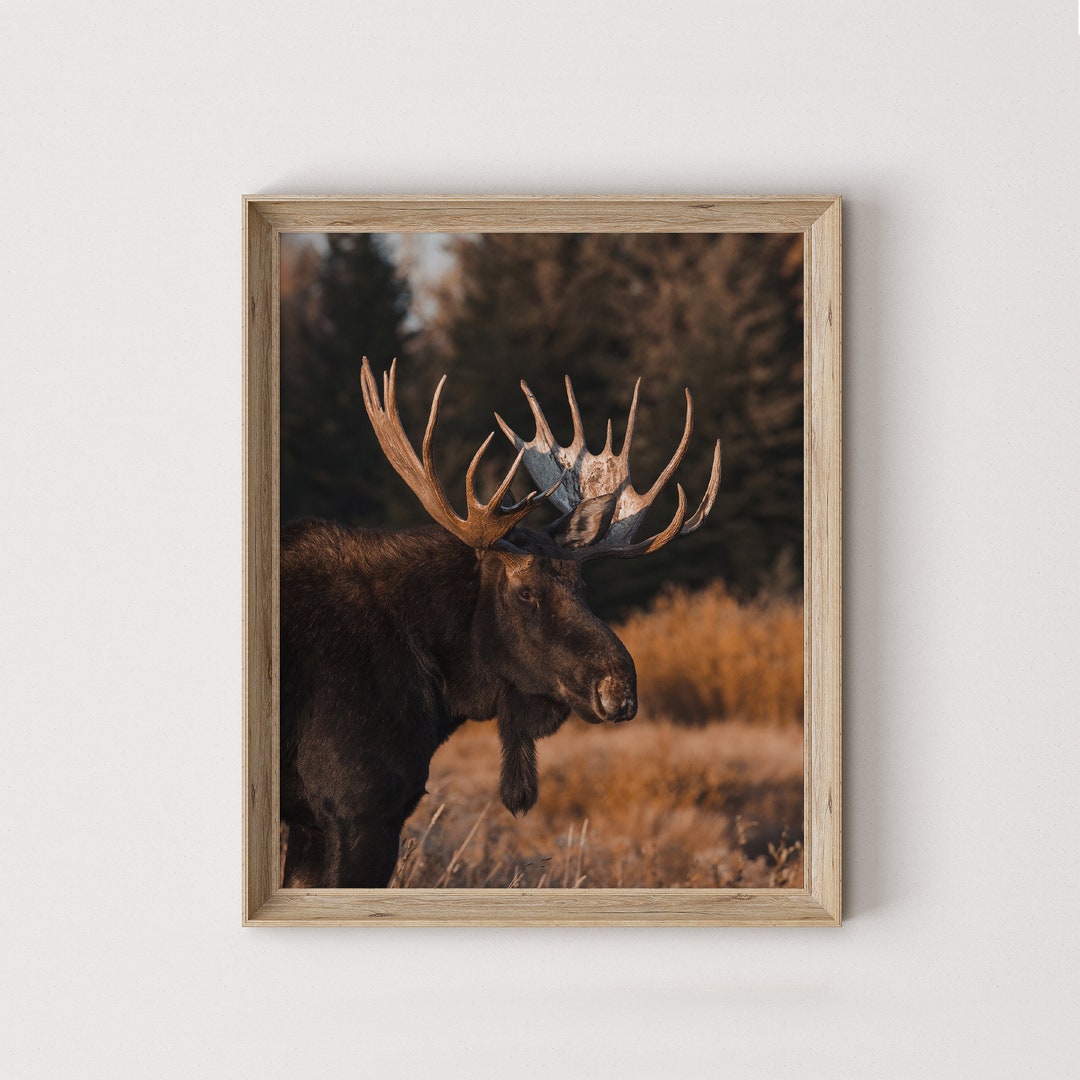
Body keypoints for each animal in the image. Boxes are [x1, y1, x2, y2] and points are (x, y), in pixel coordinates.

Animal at [280, 358, 721, 887]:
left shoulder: (313, 819)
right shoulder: (359, 804)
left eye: (583, 586)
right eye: (524, 592)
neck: (437, 681)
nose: (620, 690)